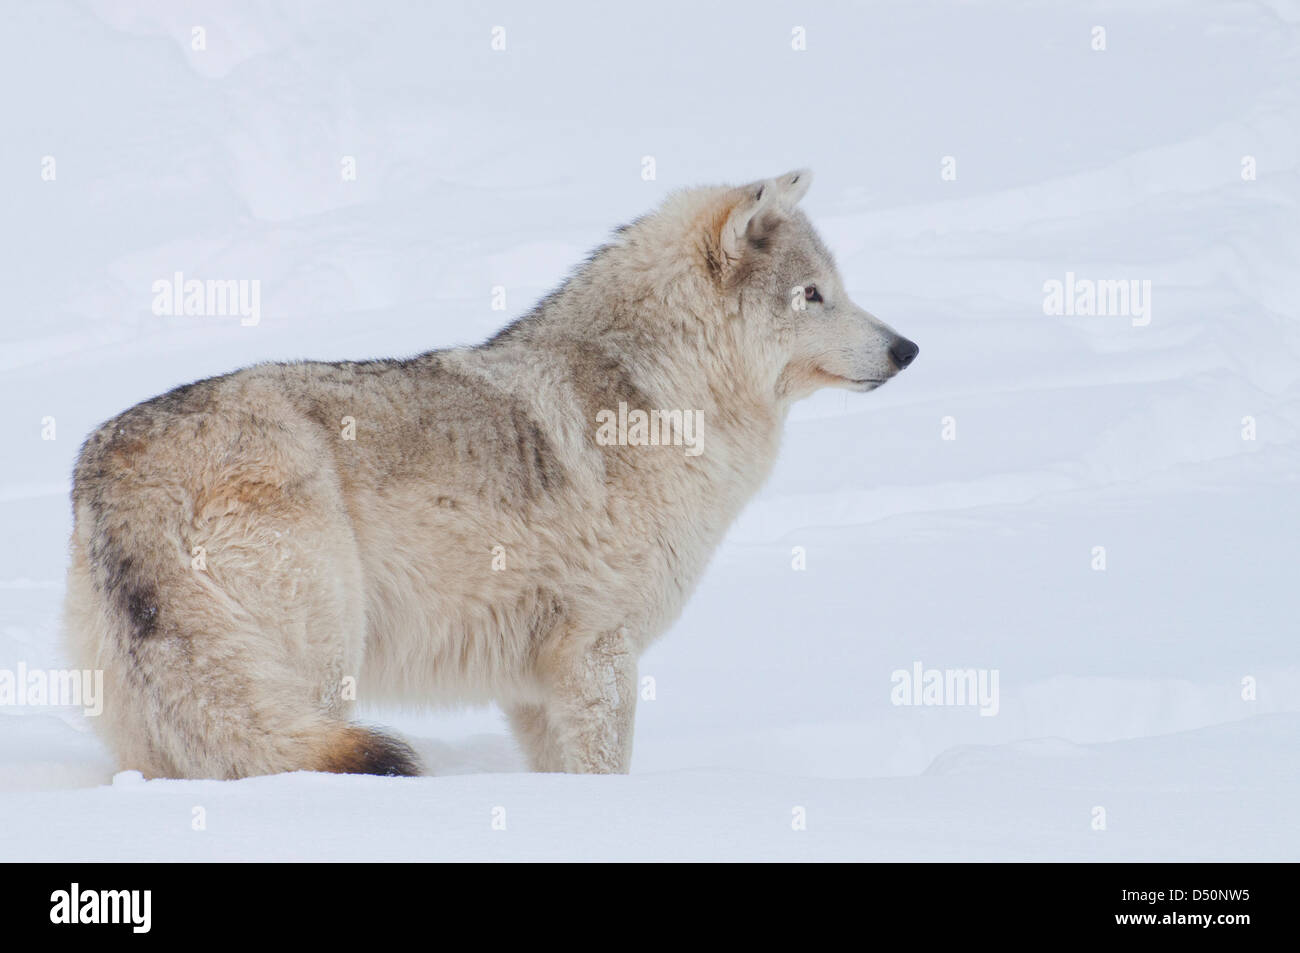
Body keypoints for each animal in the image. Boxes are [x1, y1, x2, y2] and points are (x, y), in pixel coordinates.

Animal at [63, 170, 918, 779]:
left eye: (834, 289)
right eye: (813, 295)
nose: (907, 348)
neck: (659, 398)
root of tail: (117, 464)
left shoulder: (535, 684)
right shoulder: (600, 654)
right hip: (318, 668)